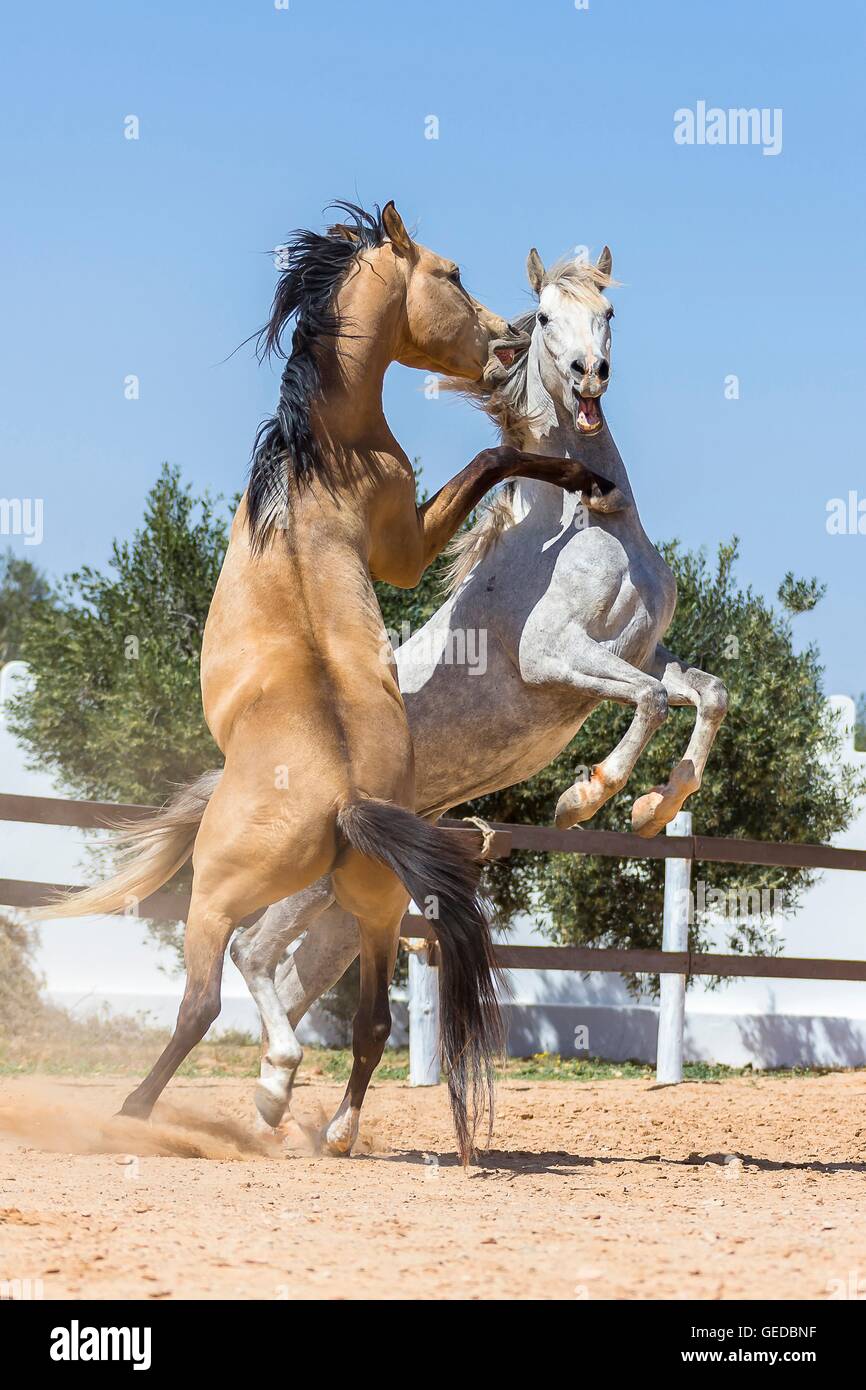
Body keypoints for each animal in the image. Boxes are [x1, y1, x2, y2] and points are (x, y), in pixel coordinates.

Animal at [37, 202, 608, 1164]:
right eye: (453, 275)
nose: (508, 337)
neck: (323, 458)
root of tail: (345, 799)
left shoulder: (405, 549)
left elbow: (491, 462)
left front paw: (580, 476)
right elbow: (492, 463)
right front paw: (583, 477)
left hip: (217, 900)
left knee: (205, 1003)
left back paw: (143, 1112)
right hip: (372, 906)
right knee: (369, 1021)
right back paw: (325, 1127)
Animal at [226, 243, 729, 1130]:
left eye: (609, 313)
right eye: (548, 315)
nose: (591, 374)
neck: (592, 521)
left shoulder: (646, 647)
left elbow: (706, 692)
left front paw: (654, 805)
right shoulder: (558, 657)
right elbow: (647, 700)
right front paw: (587, 798)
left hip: (350, 900)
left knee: (291, 975)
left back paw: (293, 1114)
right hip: (308, 879)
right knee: (252, 950)